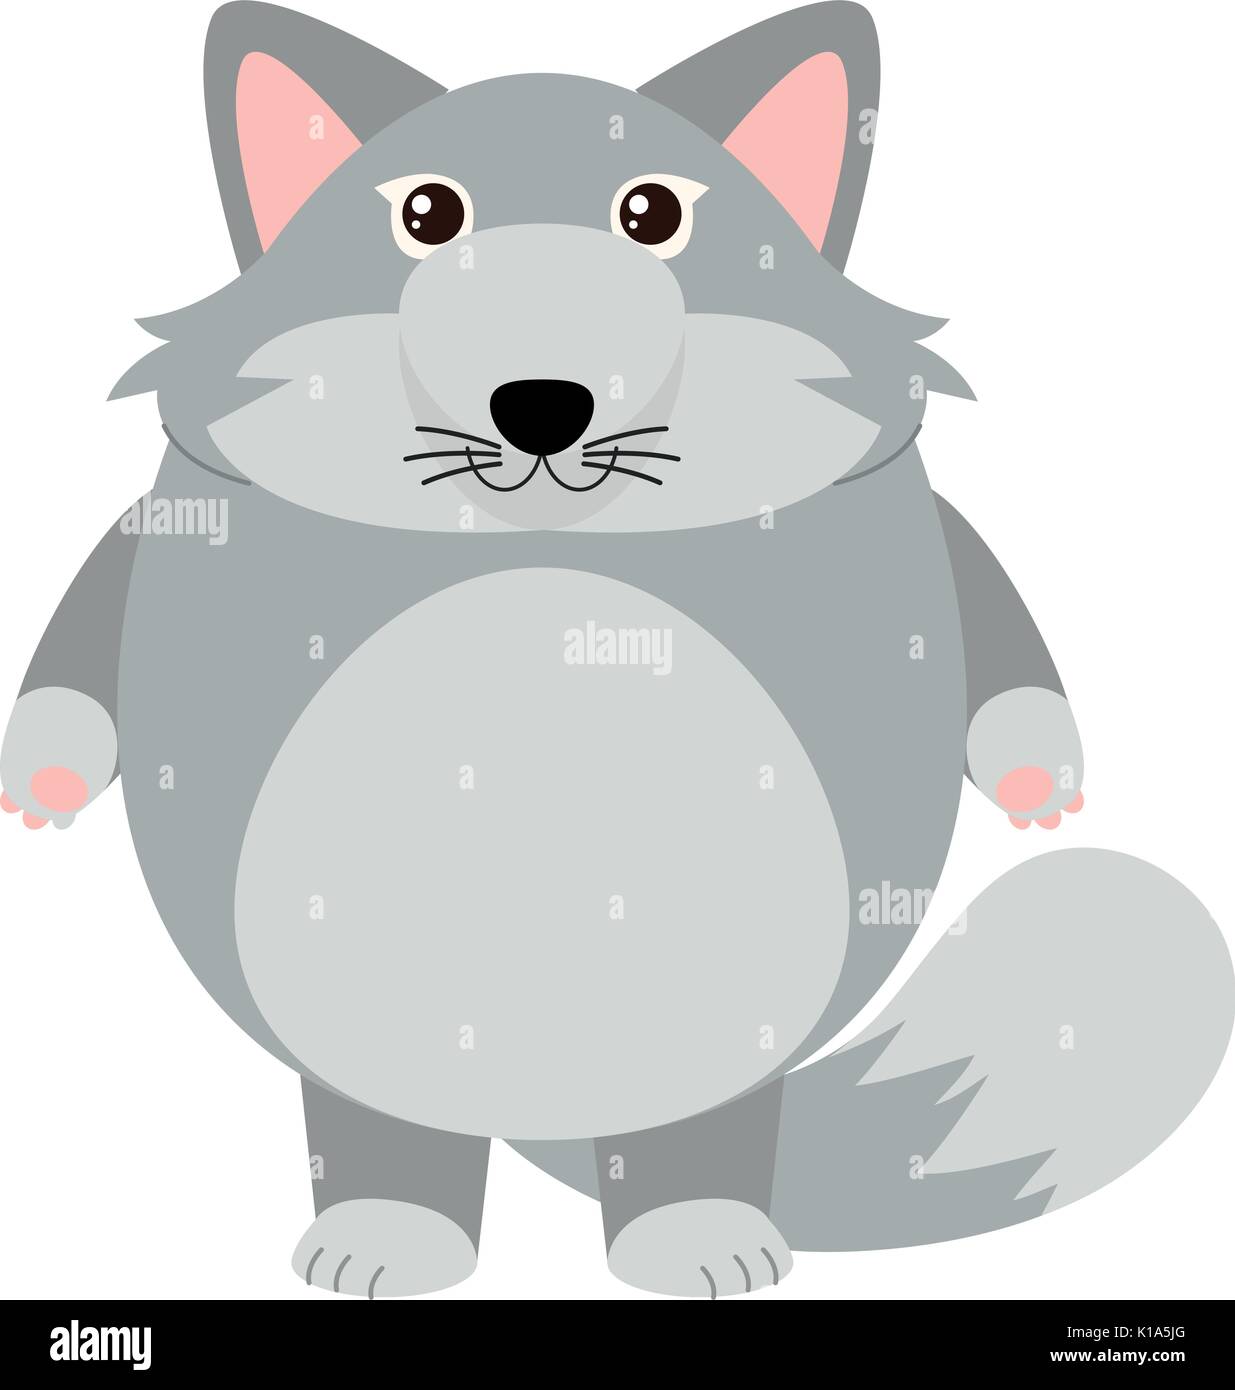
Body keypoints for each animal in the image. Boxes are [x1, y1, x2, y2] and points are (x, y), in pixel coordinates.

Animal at [2, 0, 1231, 1298]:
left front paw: (1037, 777)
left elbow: (995, 622)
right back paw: (389, 1232)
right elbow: (84, 627)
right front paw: (45, 778)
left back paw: (695, 1232)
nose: (542, 403)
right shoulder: (171, 517)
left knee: (691, 1129)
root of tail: (540, 1101)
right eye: (426, 216)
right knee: (382, 1124)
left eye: (652, 215)